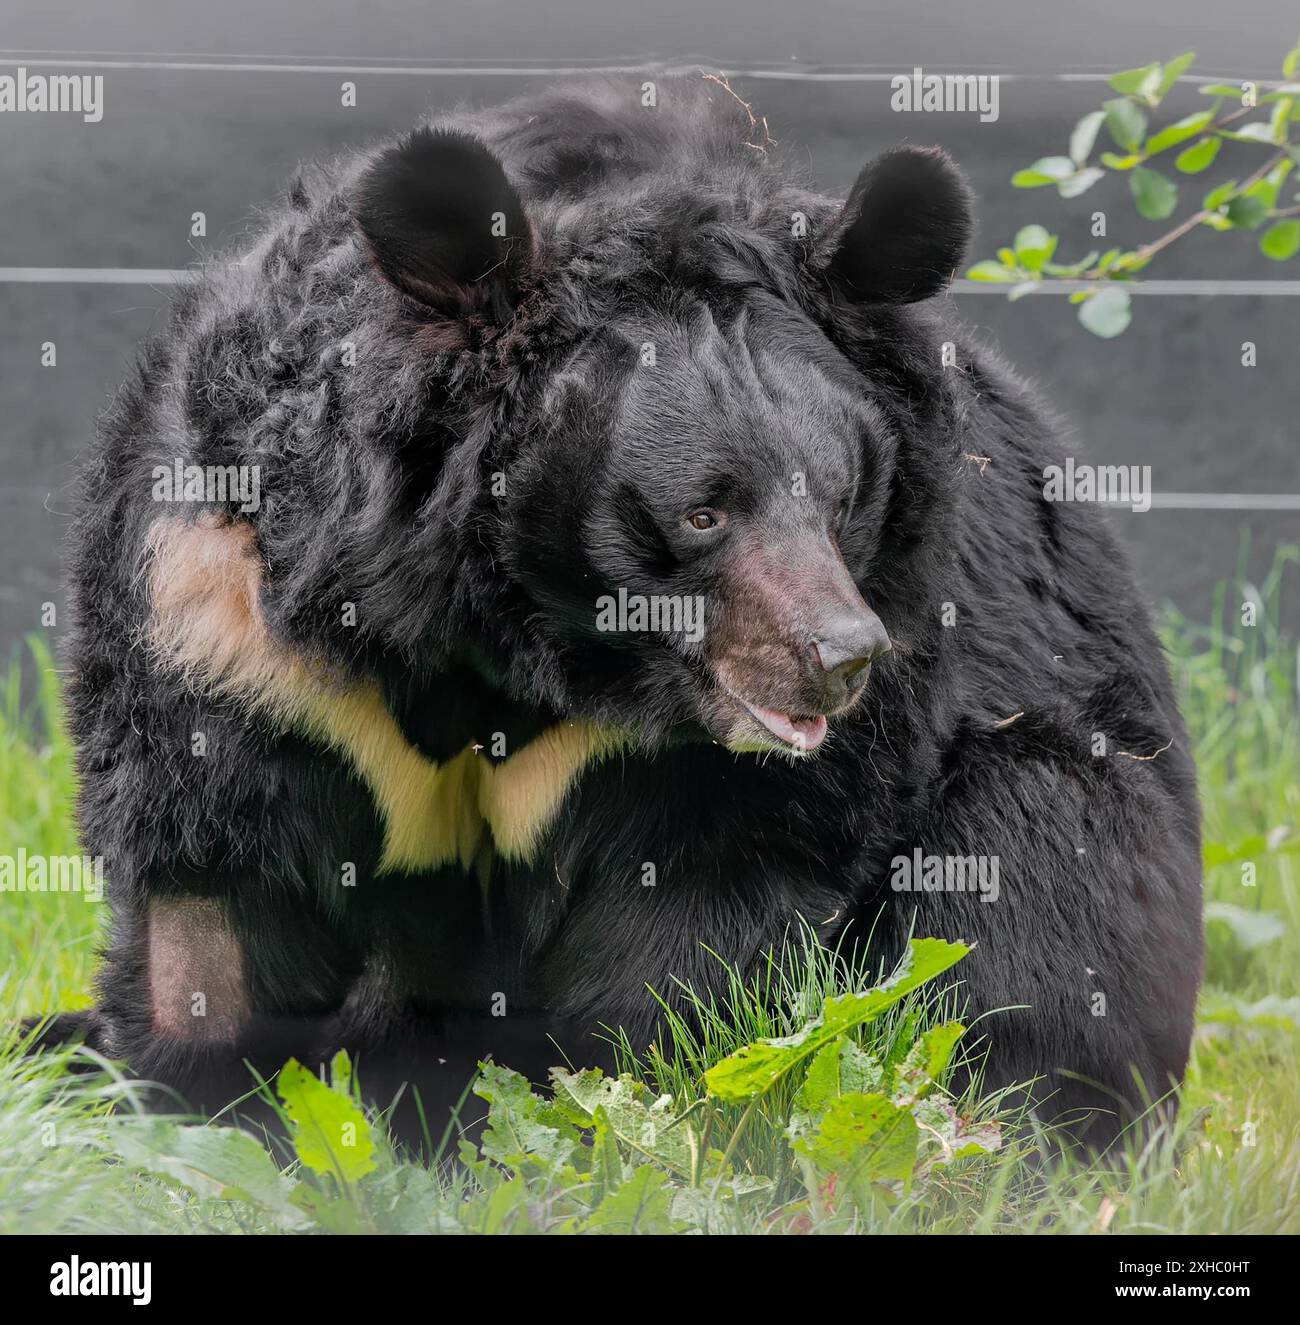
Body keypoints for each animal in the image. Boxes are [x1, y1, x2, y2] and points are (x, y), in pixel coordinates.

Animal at [55, 74, 1202, 1151]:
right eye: (704, 512)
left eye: (840, 499)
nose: (840, 659)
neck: (512, 633)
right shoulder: (227, 623)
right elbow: (219, 909)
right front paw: (223, 1118)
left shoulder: (765, 734)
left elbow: (690, 946)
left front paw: (604, 1124)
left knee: (1035, 859)